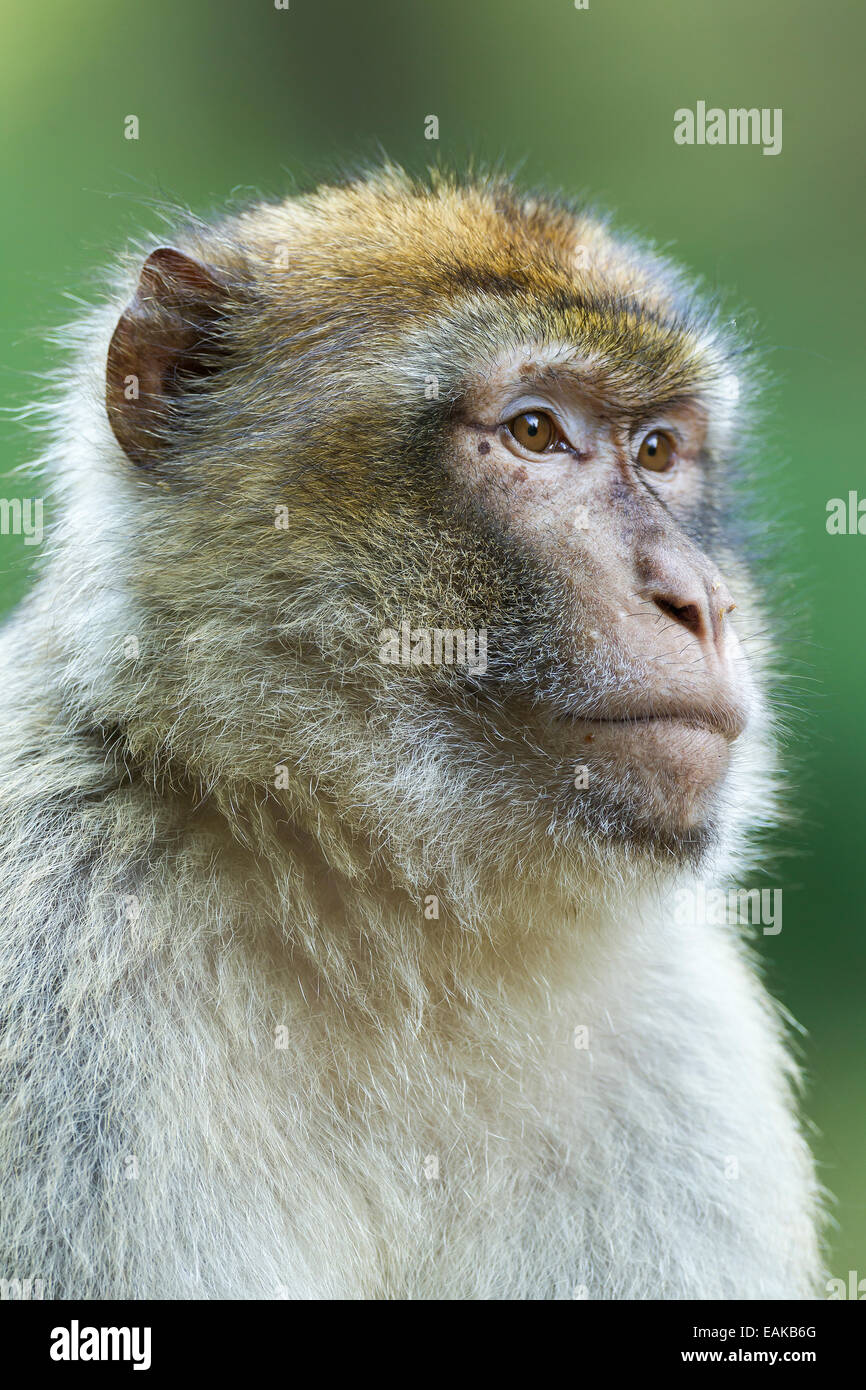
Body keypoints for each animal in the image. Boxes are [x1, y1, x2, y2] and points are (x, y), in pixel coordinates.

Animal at [0, 166, 823, 1300]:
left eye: (659, 449)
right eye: (534, 432)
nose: (700, 600)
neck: (403, 935)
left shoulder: (687, 1040)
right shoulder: (54, 947)